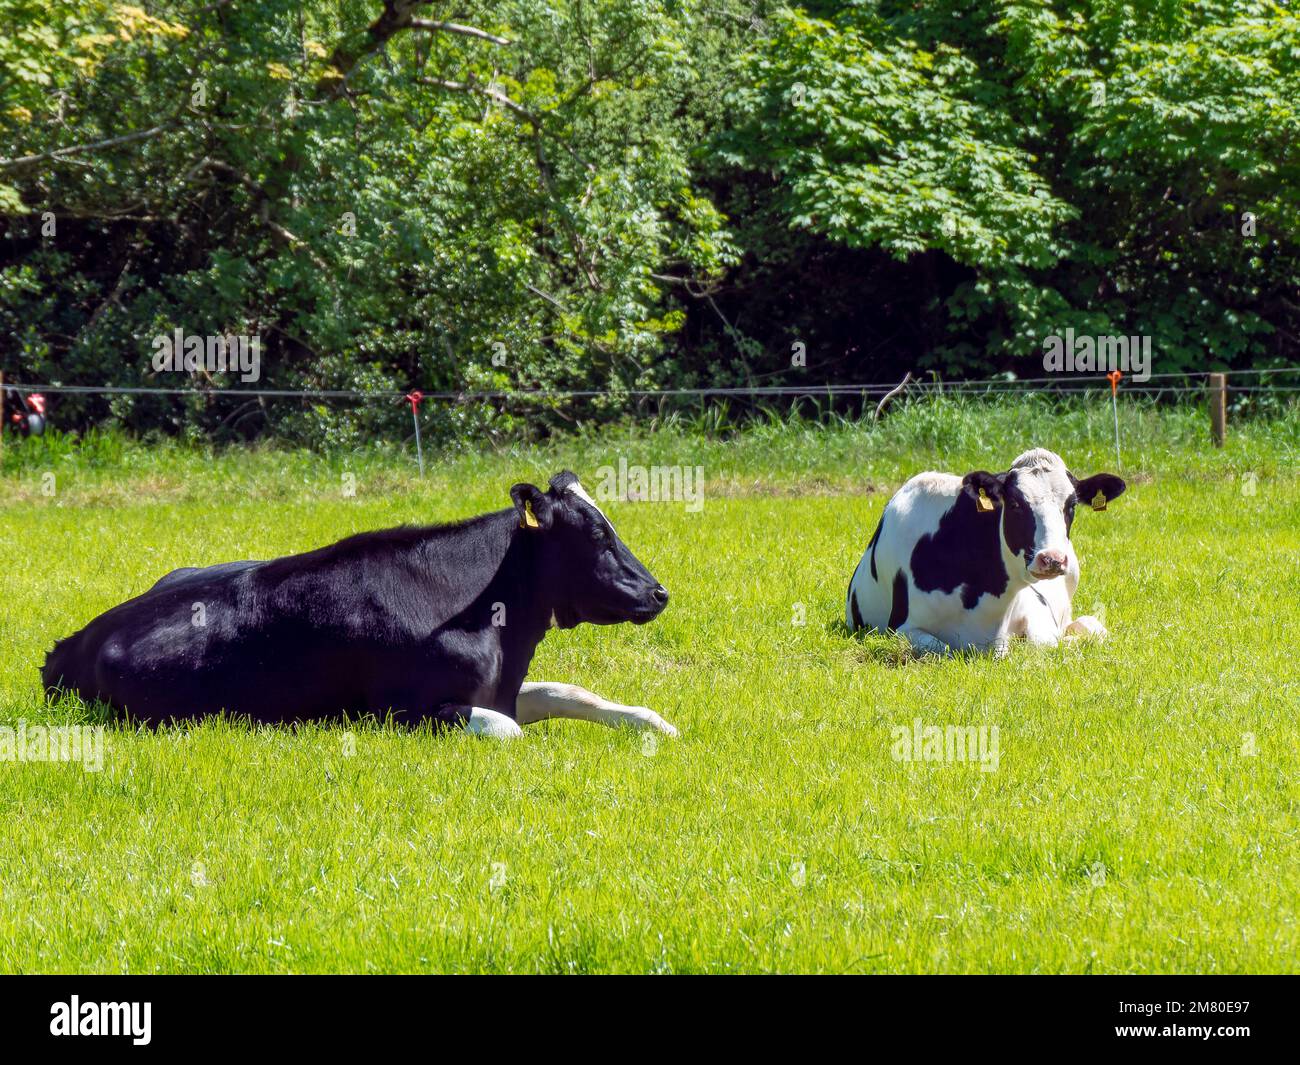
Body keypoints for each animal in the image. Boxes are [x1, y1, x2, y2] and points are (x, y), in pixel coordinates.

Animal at [41, 471, 677, 739]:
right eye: (595, 534)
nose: (659, 592)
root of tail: (74, 641)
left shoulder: (502, 685)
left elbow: (574, 693)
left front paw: (659, 724)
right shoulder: (403, 708)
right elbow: (506, 729)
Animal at [846, 448, 1125, 655]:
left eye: (1072, 505)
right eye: (1014, 504)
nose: (1053, 559)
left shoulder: (1036, 608)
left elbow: (1043, 644)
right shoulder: (901, 628)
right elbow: (942, 647)